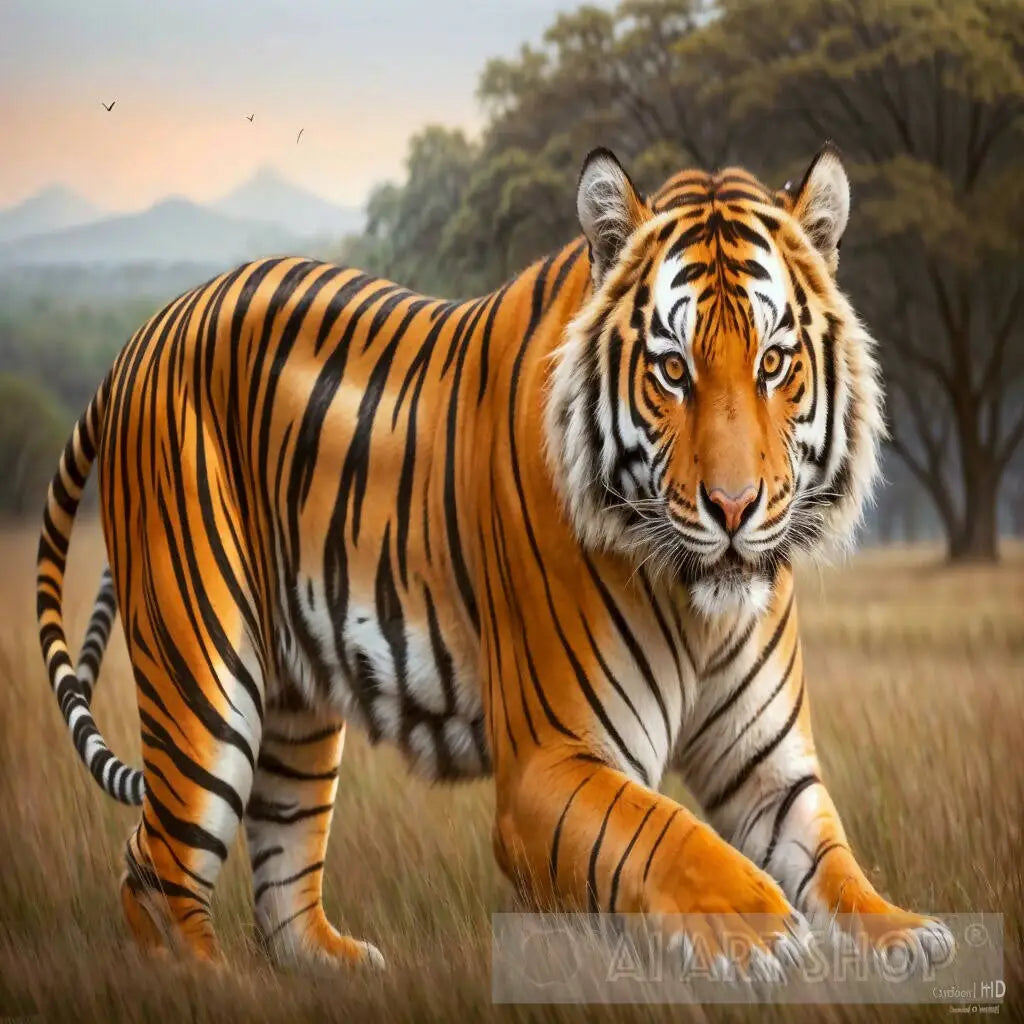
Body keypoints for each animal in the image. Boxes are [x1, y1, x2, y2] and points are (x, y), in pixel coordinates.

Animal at [37, 143, 953, 977]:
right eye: (672, 369)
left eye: (773, 363)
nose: (735, 510)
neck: (702, 608)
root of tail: (143, 335)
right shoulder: (554, 762)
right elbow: (672, 839)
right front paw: (762, 931)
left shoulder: (765, 766)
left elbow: (832, 863)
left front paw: (908, 935)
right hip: (204, 677)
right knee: (158, 866)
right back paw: (212, 984)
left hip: (295, 705)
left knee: (274, 864)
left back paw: (340, 968)